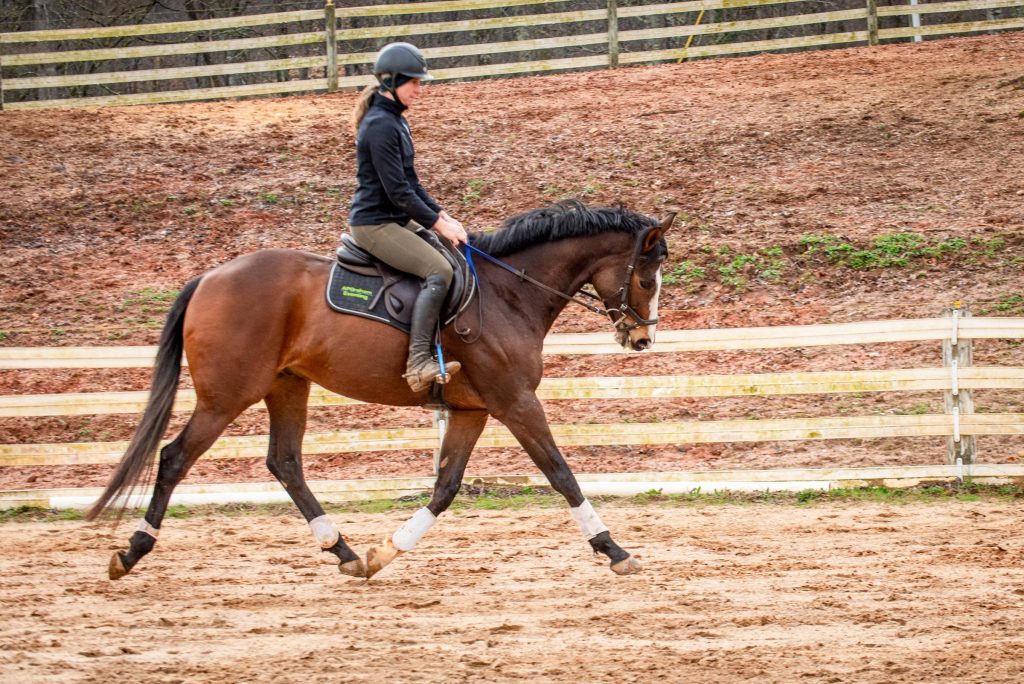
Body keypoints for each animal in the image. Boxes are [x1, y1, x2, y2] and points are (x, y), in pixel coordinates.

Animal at [87, 200, 674, 580]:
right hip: (227, 396)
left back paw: (344, 552)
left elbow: (445, 488)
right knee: (174, 458)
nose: (641, 338)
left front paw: (384, 553)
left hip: (286, 386)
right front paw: (614, 549)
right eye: (647, 279)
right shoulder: (514, 402)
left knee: (285, 463)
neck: (509, 292)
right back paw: (133, 551)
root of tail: (209, 278)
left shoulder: (472, 410)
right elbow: (560, 472)